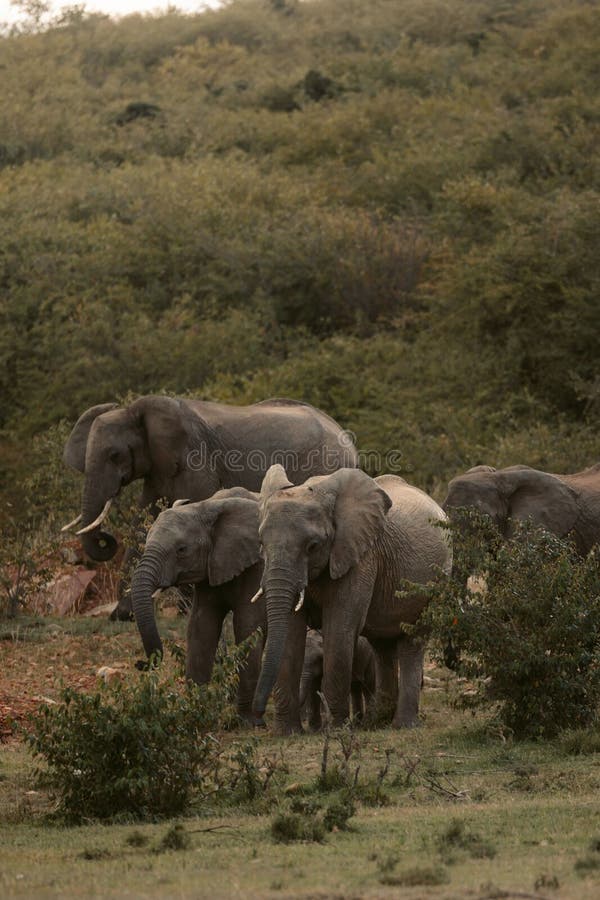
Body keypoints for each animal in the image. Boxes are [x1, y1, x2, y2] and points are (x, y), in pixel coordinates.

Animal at [61, 395, 358, 619]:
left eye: (115, 455)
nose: (106, 540)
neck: (135, 410)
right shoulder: (158, 469)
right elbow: (143, 524)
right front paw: (123, 614)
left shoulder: (195, 459)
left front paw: (184, 610)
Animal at [130, 487, 265, 725]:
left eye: (182, 550)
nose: (141, 664)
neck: (207, 506)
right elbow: (201, 627)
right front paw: (194, 711)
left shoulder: (255, 565)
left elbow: (247, 627)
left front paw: (249, 721)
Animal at [251, 466, 452, 733]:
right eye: (261, 543)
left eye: (313, 546)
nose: (257, 717)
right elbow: (291, 633)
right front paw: (286, 733)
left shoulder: (360, 557)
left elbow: (340, 627)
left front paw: (337, 730)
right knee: (382, 646)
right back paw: (377, 722)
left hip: (436, 580)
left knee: (412, 641)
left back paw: (402, 725)